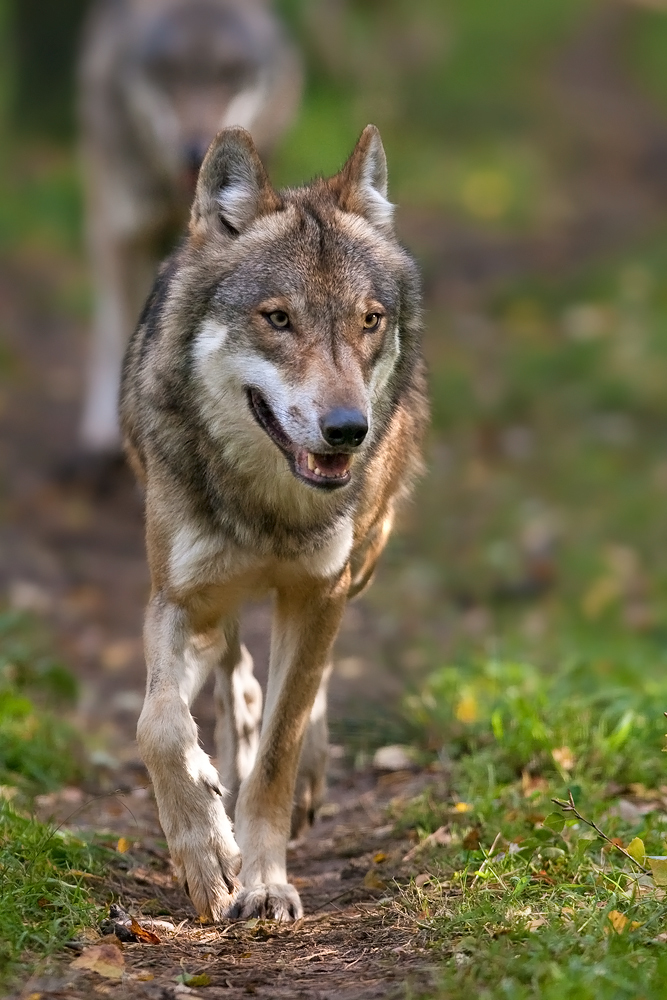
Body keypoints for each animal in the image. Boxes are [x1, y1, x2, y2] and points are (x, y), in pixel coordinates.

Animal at [120, 124, 428, 922]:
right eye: (278, 317)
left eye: (368, 320)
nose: (347, 429)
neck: (269, 508)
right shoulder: (175, 596)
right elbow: (157, 724)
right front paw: (206, 852)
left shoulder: (317, 590)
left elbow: (279, 752)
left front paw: (263, 881)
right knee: (230, 673)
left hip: (363, 558)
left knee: (304, 688)